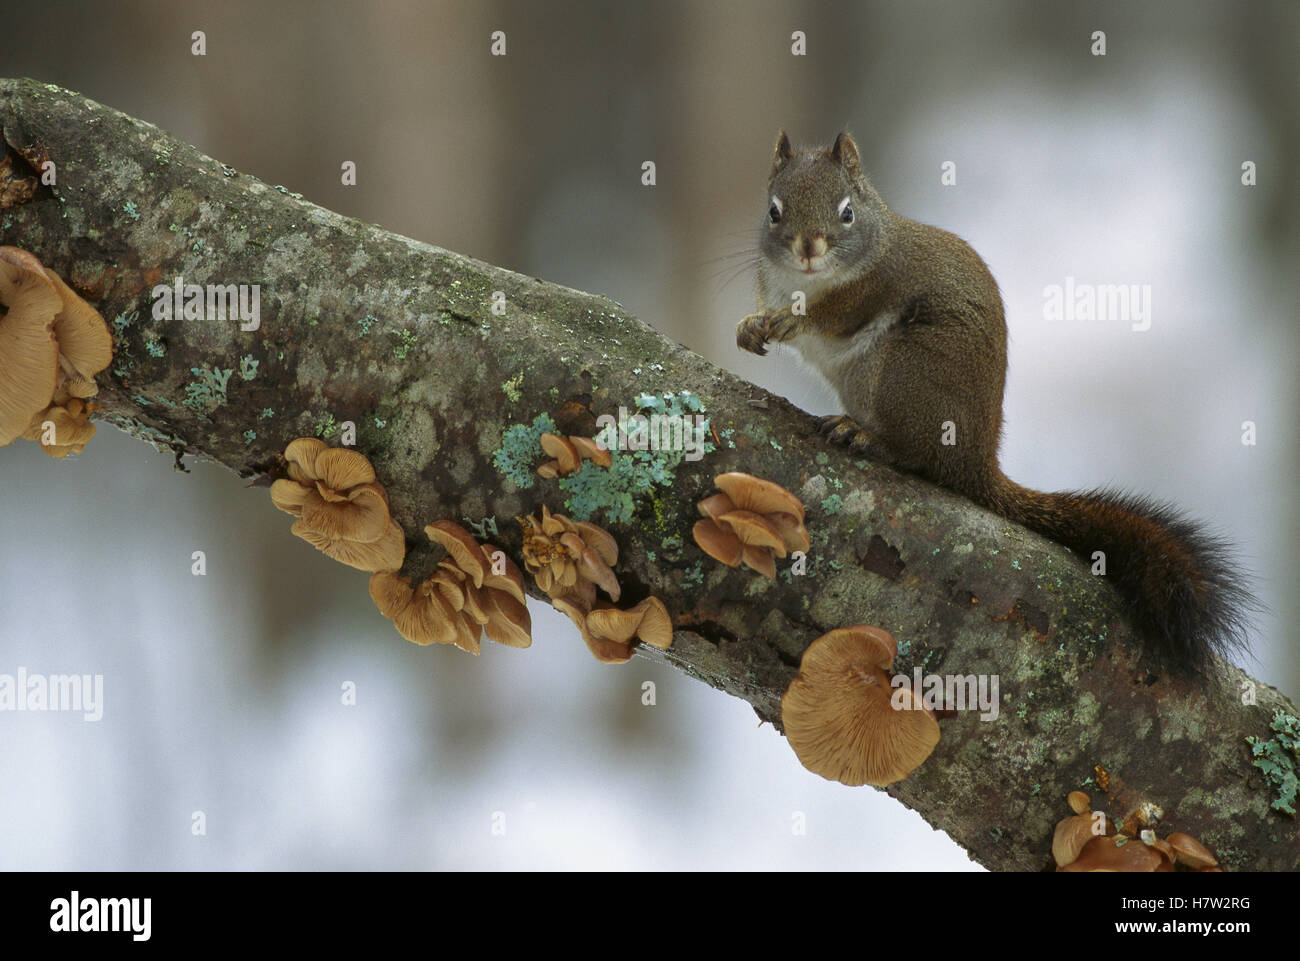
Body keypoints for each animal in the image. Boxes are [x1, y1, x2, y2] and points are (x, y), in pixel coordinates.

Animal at [737, 130, 1253, 672]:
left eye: (847, 213)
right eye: (773, 211)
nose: (808, 248)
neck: (807, 281)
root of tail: (978, 461)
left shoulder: (873, 285)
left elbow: (832, 314)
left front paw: (795, 319)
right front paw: (750, 326)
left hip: (907, 373)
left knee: (919, 454)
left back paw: (866, 435)